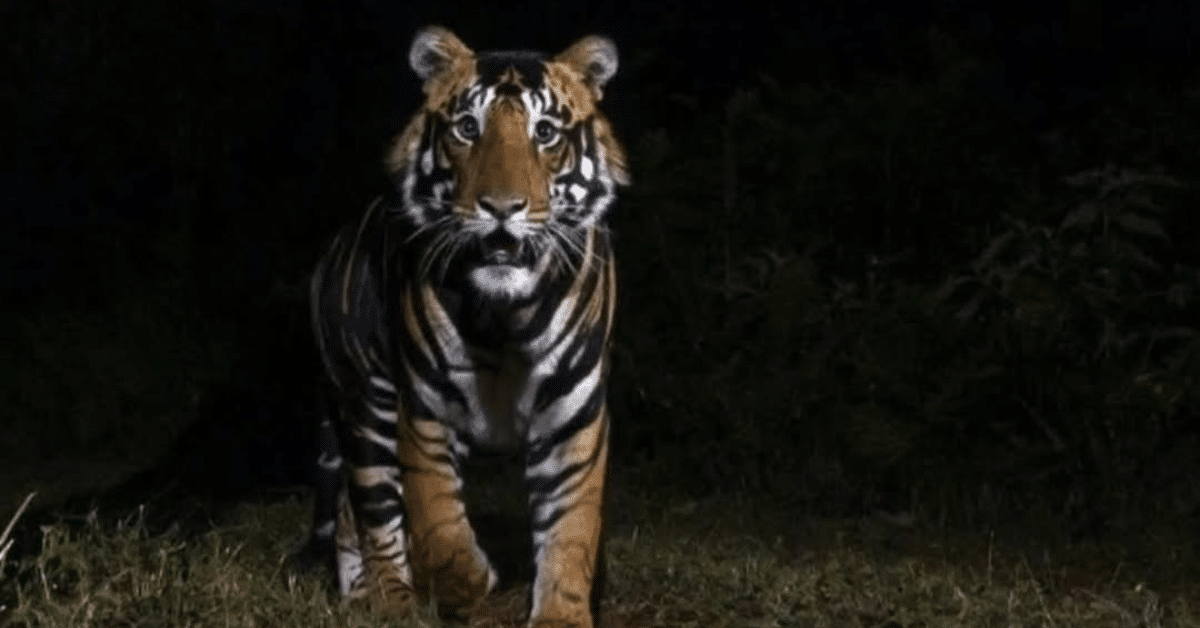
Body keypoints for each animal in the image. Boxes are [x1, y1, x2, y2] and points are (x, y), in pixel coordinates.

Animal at [301, 26, 630, 628]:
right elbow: (437, 524)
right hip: (366, 403)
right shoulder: (424, 410)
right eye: (468, 128)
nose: (501, 207)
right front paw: (471, 581)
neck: (506, 318)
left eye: (545, 133)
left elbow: (570, 532)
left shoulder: (572, 418)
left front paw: (561, 613)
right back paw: (389, 600)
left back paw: (360, 596)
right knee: (371, 507)